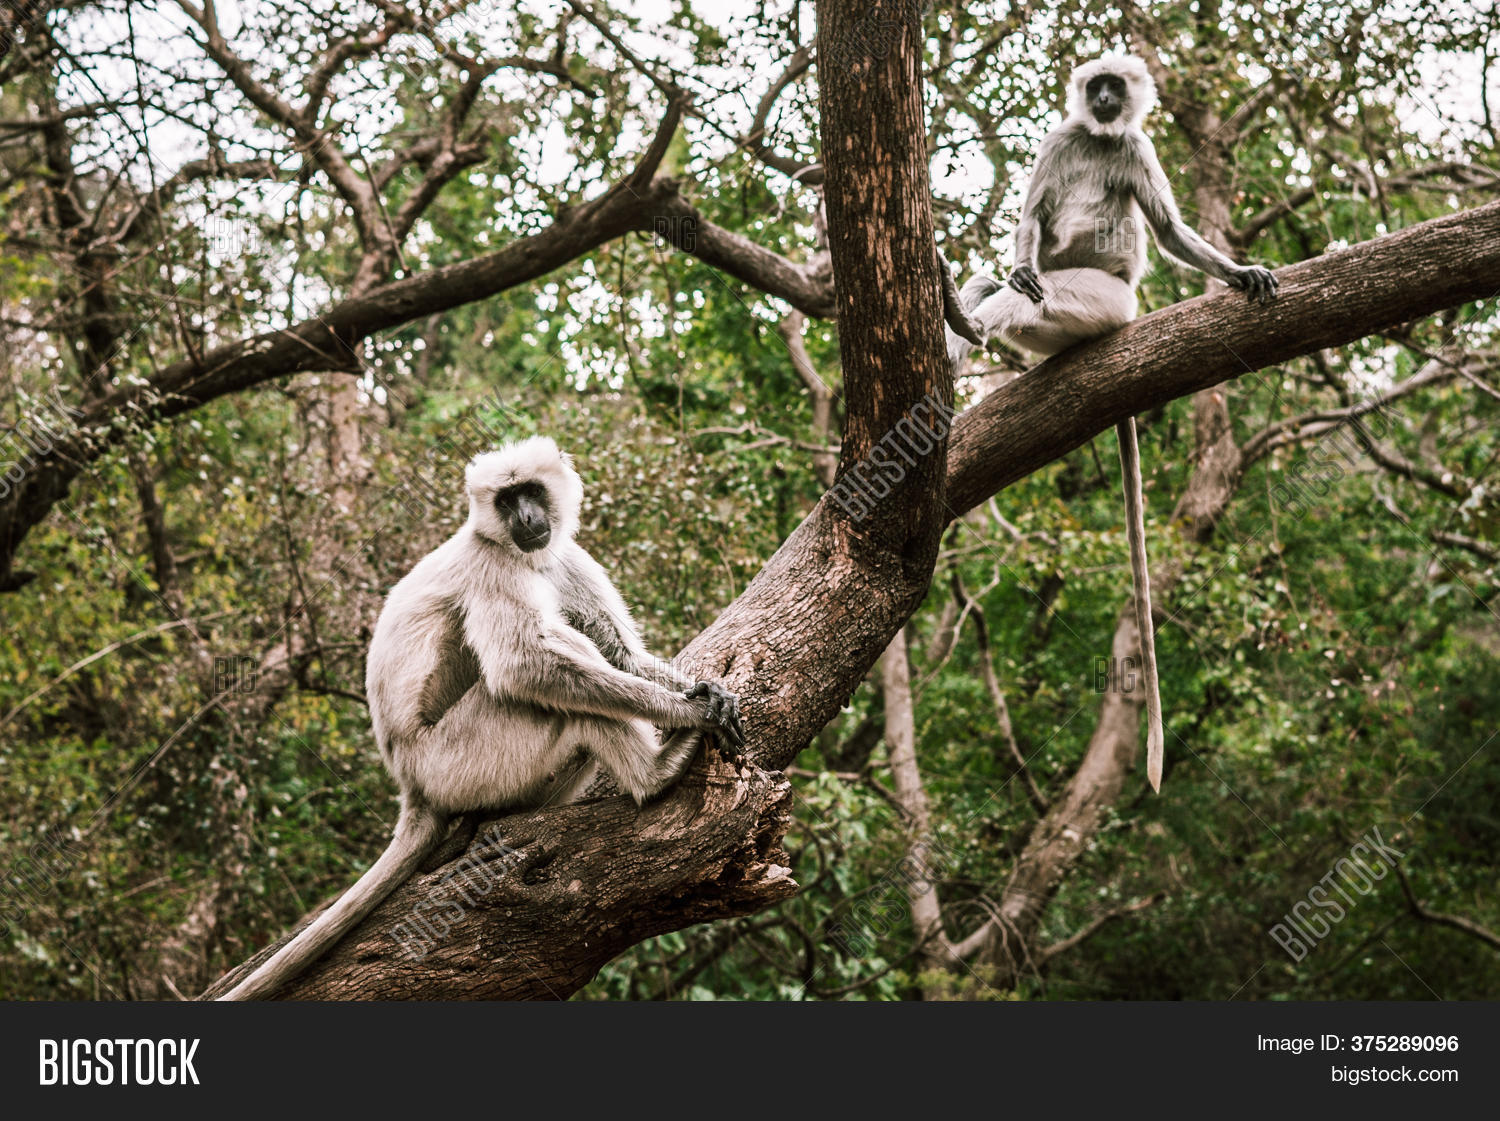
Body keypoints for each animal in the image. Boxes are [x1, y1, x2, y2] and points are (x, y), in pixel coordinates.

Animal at [219, 437, 744, 1000]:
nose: (528, 516)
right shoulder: (493, 564)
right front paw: (690, 709)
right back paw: (654, 777)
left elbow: (622, 654)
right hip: (460, 757)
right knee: (554, 689)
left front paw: (707, 690)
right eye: (507, 501)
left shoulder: (566, 557)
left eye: (531, 492)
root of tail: (410, 782)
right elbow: (523, 668)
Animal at [945, 55, 1278, 791]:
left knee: (1032, 294)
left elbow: (1166, 228)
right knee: (1001, 283)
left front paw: (1239, 272)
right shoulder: (1061, 138)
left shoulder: (1133, 147)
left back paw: (968, 335)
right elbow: (1031, 216)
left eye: (1114, 89)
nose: (1101, 97)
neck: (1098, 138)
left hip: (1103, 304)